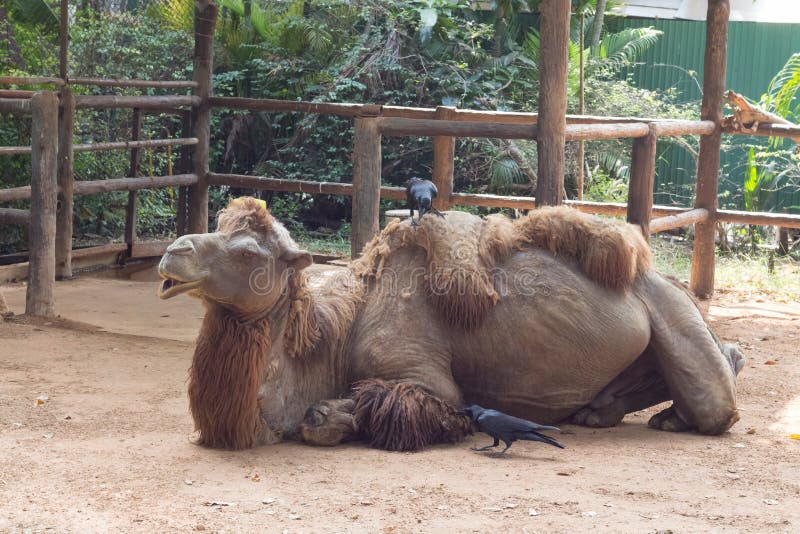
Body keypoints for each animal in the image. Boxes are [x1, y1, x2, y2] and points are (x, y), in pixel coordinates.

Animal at [157, 197, 744, 451]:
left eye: (248, 252)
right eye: (216, 223)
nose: (172, 252)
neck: (335, 336)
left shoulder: (418, 372)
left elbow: (335, 415)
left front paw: (332, 415)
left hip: (671, 307)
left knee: (716, 401)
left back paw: (673, 418)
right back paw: (602, 413)